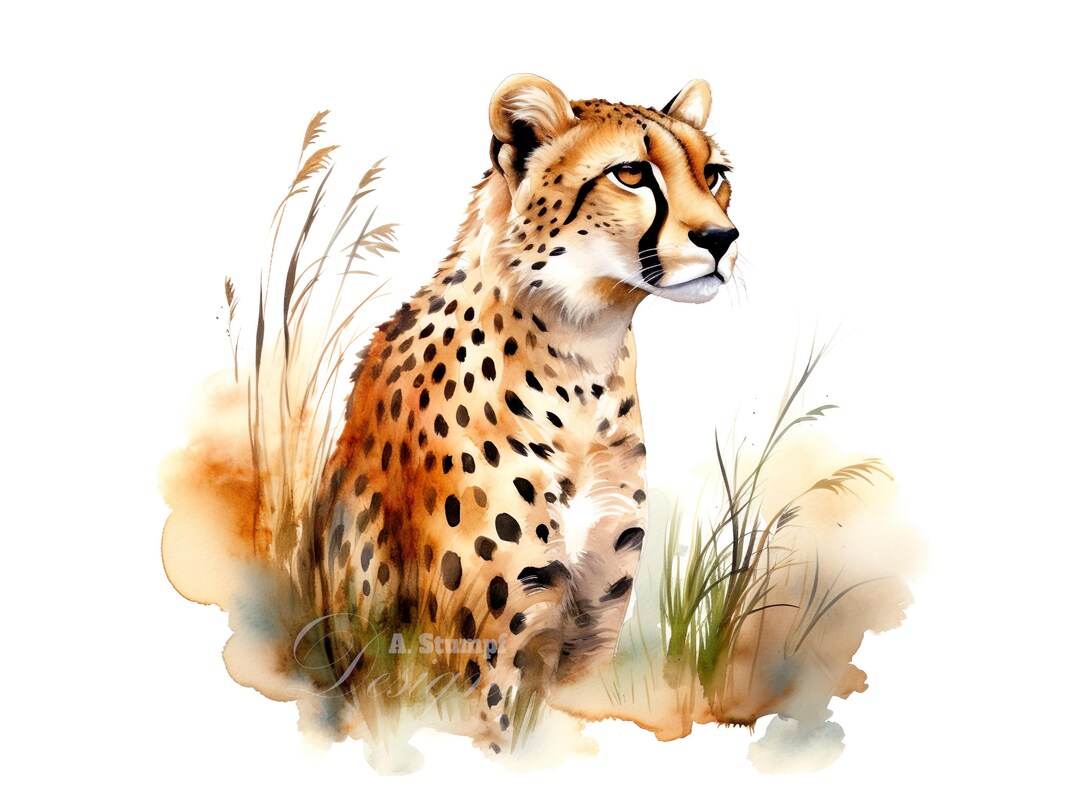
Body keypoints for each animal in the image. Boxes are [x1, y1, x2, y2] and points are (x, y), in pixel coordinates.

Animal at [303, 74, 738, 756]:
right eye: (632, 174)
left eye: (714, 173)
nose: (722, 239)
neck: (582, 357)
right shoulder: (477, 664)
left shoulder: (586, 642)